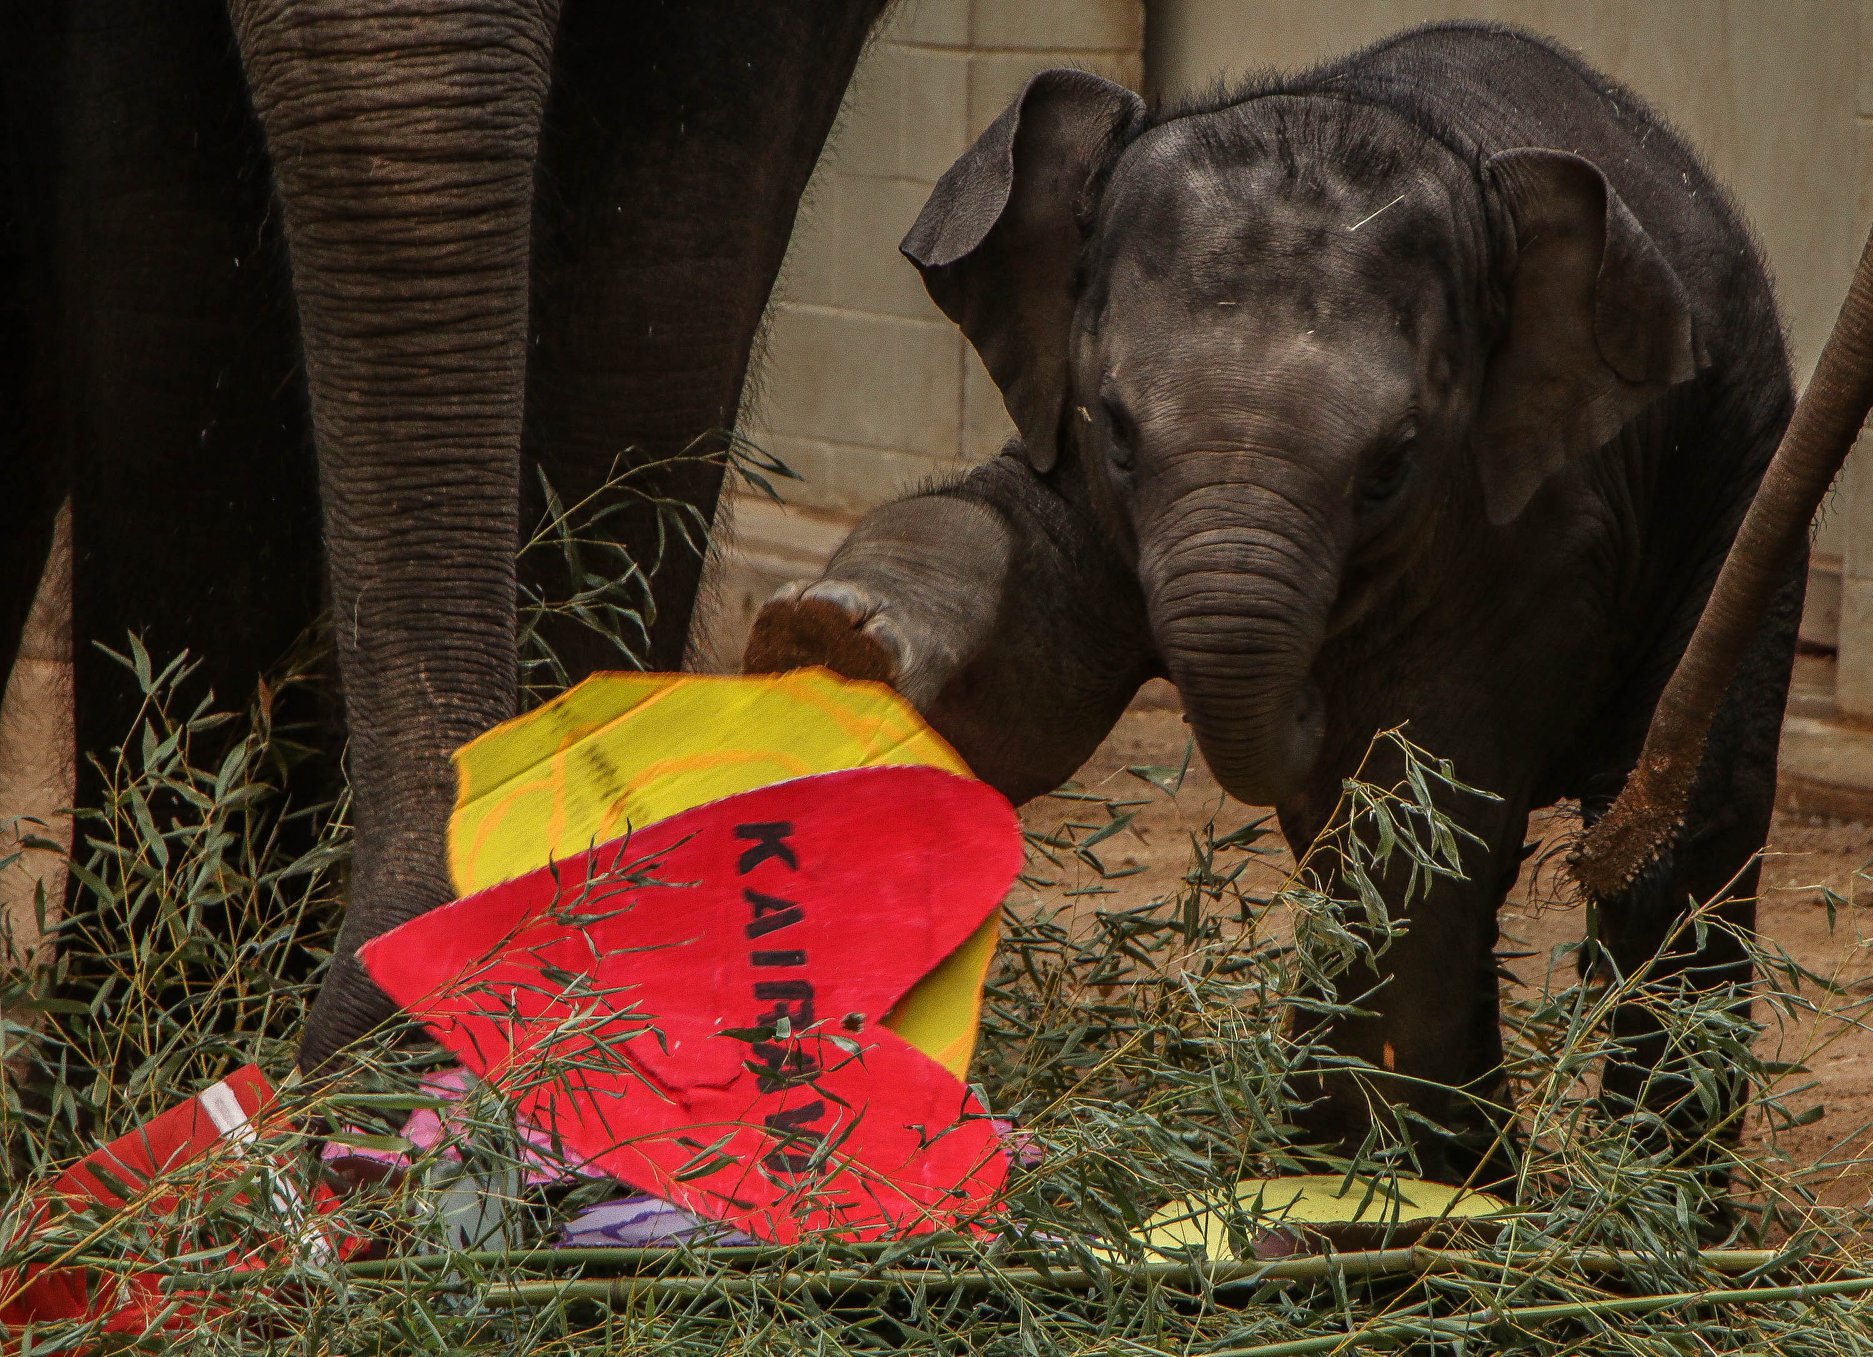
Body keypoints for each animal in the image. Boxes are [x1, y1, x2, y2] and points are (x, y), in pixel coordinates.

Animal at [746, 21, 1804, 1179]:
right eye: (1119, 427)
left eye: (1390, 465)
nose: (1307, 697)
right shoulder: (1081, 464)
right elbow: (1033, 659)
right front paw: (828, 644)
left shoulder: (1544, 534)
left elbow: (1419, 799)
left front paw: (1367, 1186)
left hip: (1746, 485)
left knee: (1681, 839)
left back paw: (1625, 1199)